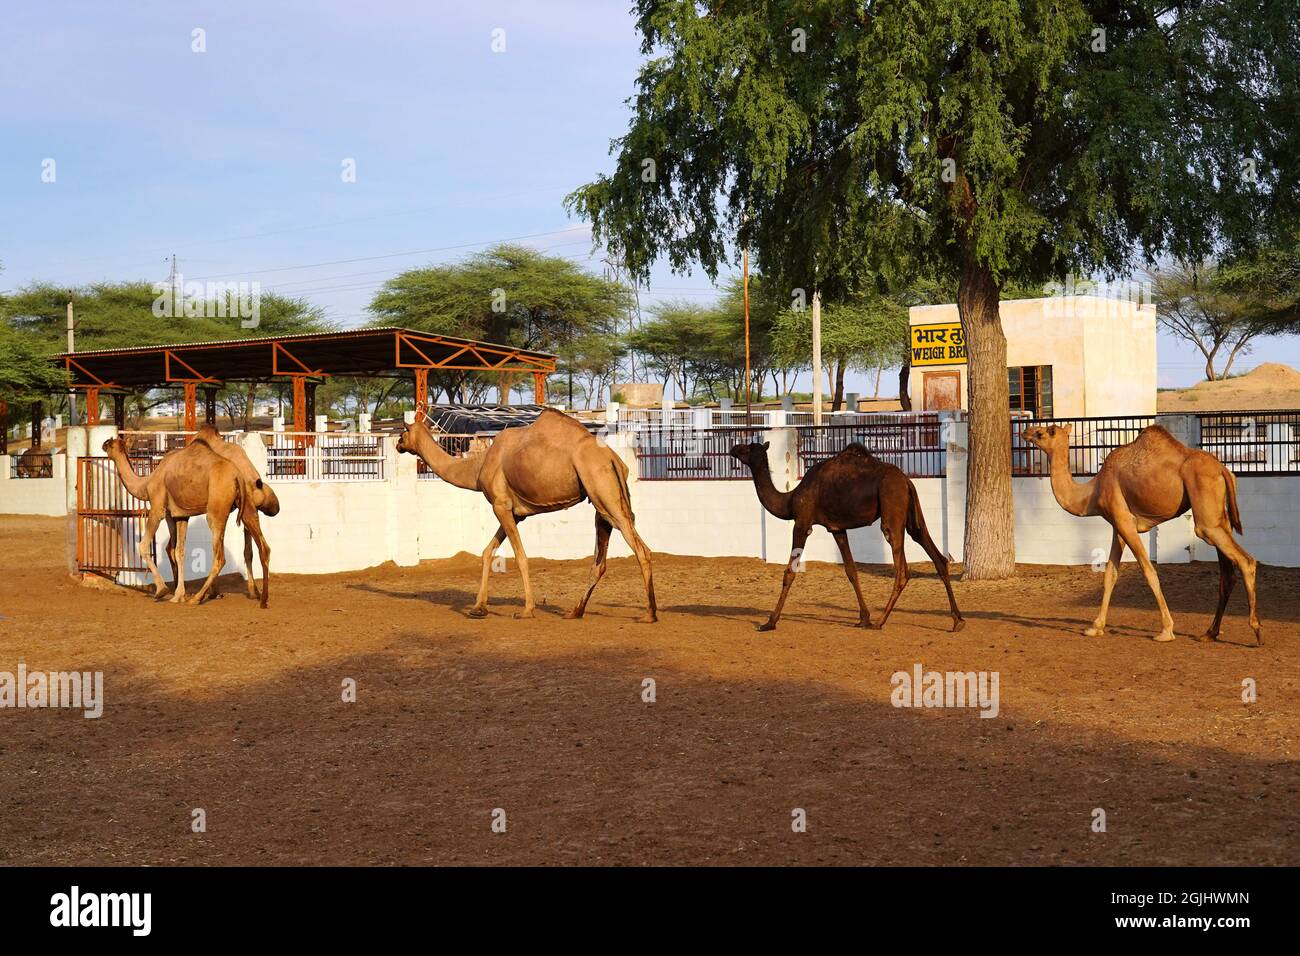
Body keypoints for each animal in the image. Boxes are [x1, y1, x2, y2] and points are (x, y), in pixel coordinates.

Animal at [102, 437, 267, 607]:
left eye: (111, 443)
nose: (104, 444)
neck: (146, 484)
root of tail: (237, 476)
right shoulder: (179, 515)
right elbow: (179, 551)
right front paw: (178, 595)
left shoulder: (157, 508)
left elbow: (143, 546)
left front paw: (161, 590)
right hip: (247, 507)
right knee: (263, 547)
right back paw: (262, 599)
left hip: (216, 510)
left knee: (220, 556)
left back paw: (197, 598)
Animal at [397, 409, 656, 622]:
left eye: (403, 432)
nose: (398, 445)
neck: (477, 467)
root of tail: (613, 458)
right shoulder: (515, 513)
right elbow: (487, 552)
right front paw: (478, 608)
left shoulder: (500, 506)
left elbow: (520, 556)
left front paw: (527, 610)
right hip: (602, 502)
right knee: (600, 560)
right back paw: (575, 611)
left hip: (603, 492)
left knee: (641, 549)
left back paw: (649, 614)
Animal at [731, 441, 963, 633]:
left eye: (747, 448)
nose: (733, 448)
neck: (790, 499)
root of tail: (907, 481)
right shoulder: (837, 529)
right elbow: (851, 570)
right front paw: (863, 618)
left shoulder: (802, 523)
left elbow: (789, 573)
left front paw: (769, 622)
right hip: (912, 512)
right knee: (934, 553)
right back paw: (957, 620)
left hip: (892, 502)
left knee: (902, 569)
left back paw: (881, 622)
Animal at [1021, 423, 1260, 644]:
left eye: (1041, 433)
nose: (1026, 431)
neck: (1092, 492)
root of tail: (1223, 470)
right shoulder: (1118, 526)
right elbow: (1110, 574)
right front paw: (1095, 627)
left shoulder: (1124, 521)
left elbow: (1149, 571)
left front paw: (1166, 631)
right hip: (1219, 518)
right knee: (1227, 573)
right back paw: (1209, 633)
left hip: (1206, 520)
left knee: (1245, 561)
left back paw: (1256, 630)